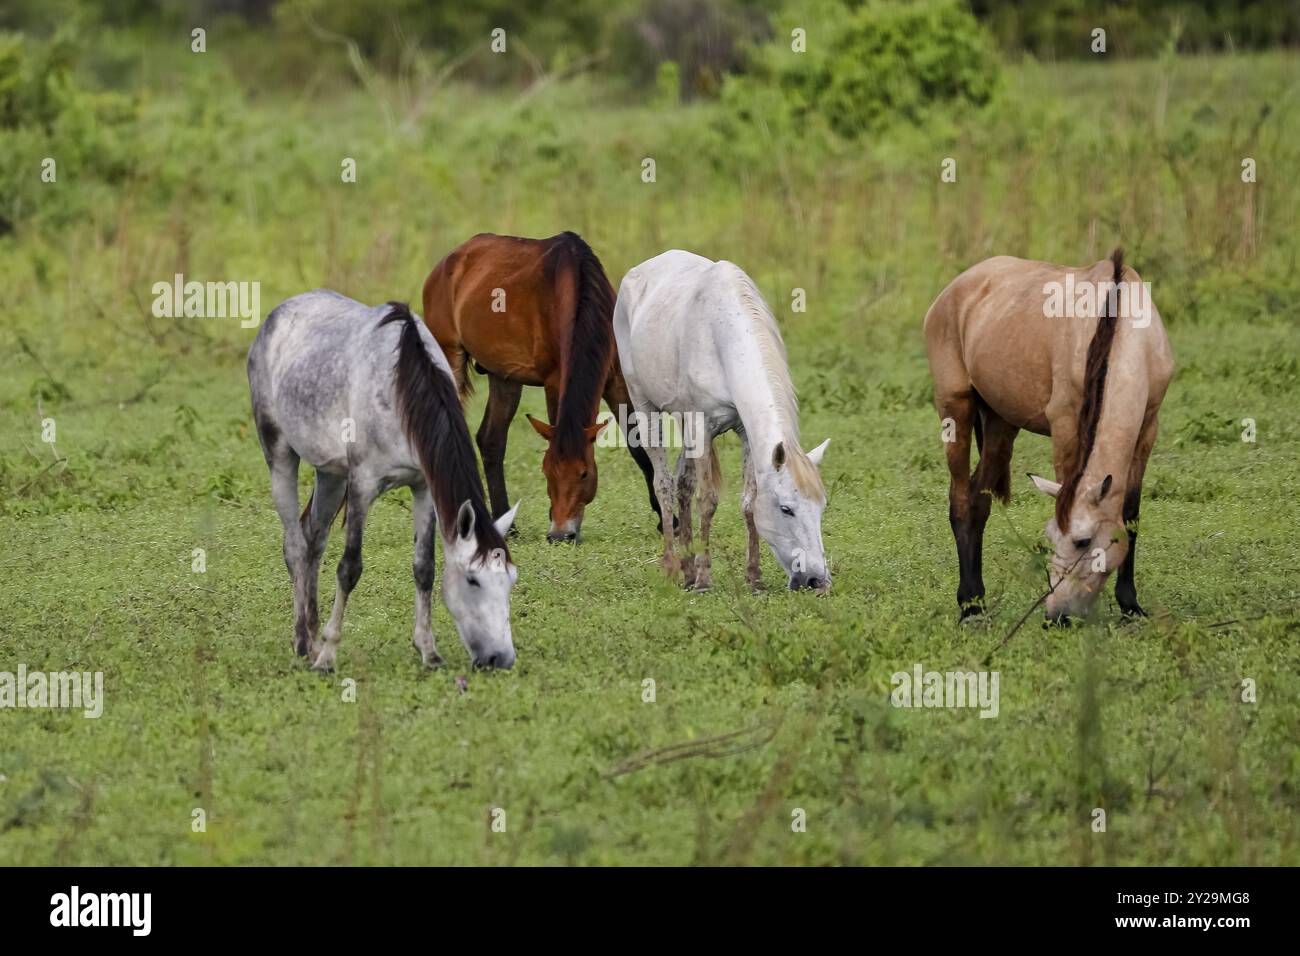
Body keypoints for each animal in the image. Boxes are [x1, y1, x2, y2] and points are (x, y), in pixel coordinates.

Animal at [247, 291, 521, 671]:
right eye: (473, 580)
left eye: (510, 579)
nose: (502, 658)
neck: (402, 390)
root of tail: (275, 316)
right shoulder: (362, 486)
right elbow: (349, 568)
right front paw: (329, 655)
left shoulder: (423, 487)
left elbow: (424, 568)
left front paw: (428, 651)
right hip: (280, 455)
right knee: (296, 547)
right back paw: (304, 643)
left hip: (331, 475)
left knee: (314, 540)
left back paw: (312, 638)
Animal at [422, 231, 660, 542]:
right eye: (547, 473)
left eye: (584, 473)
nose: (561, 534)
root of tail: (445, 265)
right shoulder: (554, 380)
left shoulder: (616, 380)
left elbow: (639, 446)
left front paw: (667, 517)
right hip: (451, 359)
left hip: (504, 378)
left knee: (492, 440)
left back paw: (506, 525)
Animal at [614, 250, 831, 592]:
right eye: (786, 509)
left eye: (821, 507)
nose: (816, 580)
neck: (723, 339)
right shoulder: (701, 426)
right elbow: (707, 500)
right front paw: (704, 578)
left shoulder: (743, 433)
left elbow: (748, 502)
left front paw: (754, 578)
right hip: (644, 406)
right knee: (664, 485)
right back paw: (673, 566)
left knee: (682, 486)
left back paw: (687, 569)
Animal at [924, 249, 1174, 623]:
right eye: (1051, 539)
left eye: (1083, 541)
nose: (1057, 615)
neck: (1119, 326)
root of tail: (955, 288)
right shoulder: (1065, 423)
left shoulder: (1148, 425)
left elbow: (1130, 513)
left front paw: (1130, 604)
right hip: (955, 408)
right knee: (961, 500)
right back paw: (970, 606)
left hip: (1001, 423)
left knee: (979, 500)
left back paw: (978, 599)